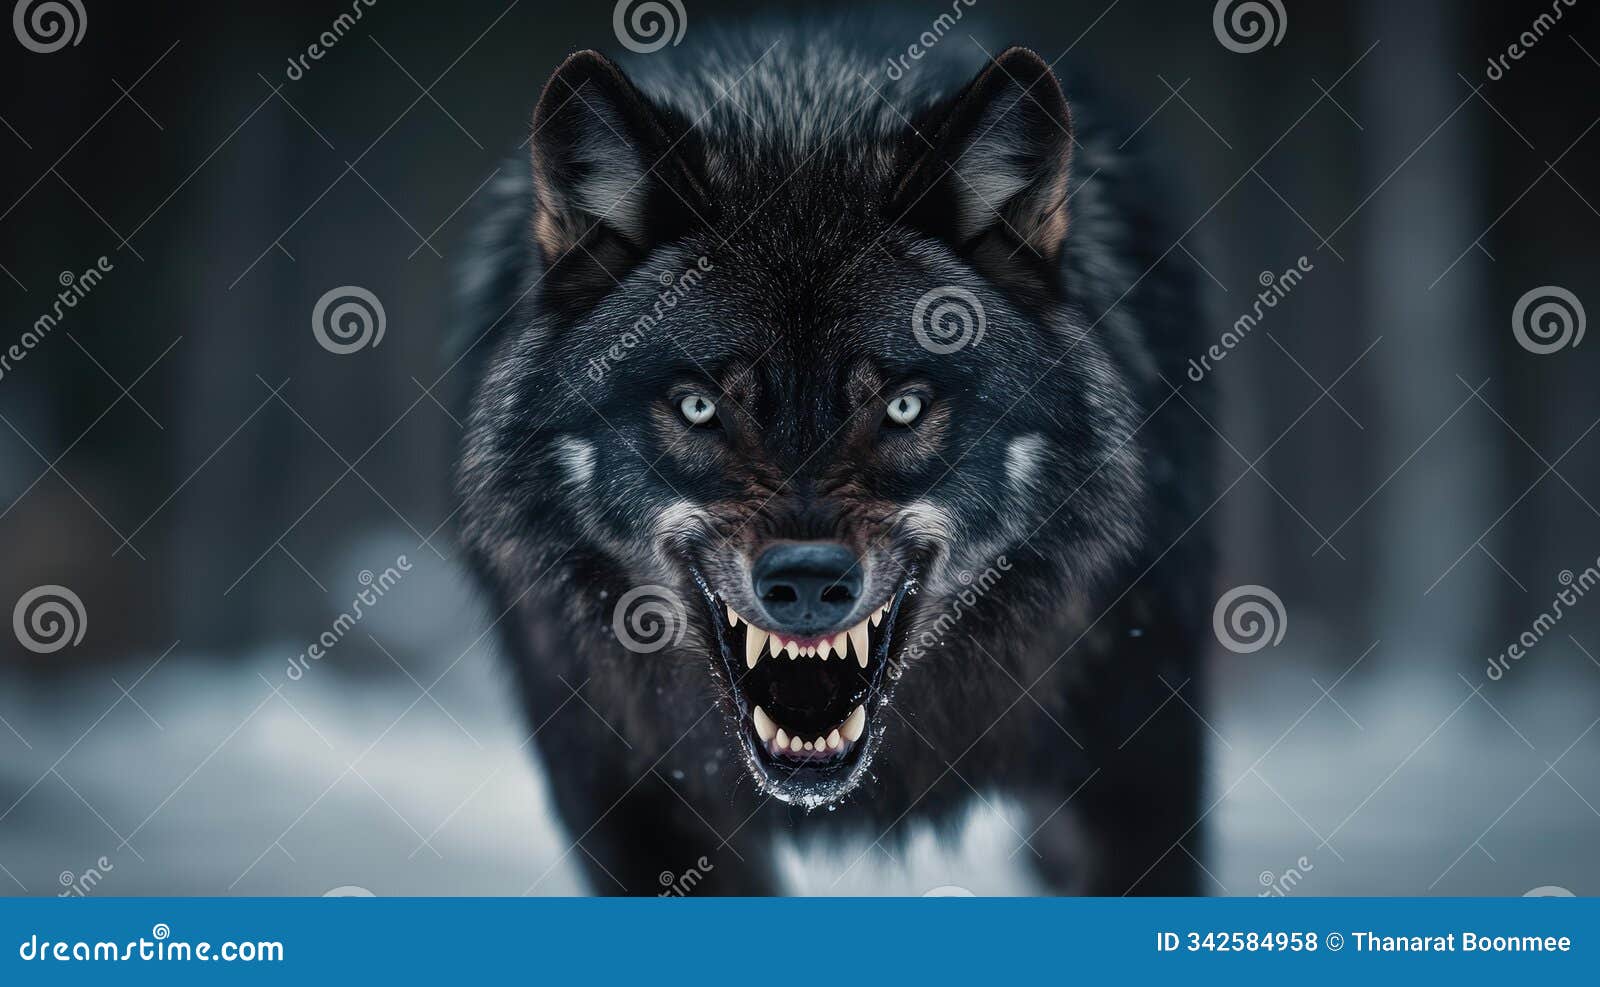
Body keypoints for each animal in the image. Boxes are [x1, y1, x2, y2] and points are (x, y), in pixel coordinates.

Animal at [454, 17, 1214, 895]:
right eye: (699, 406)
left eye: (903, 405)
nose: (809, 583)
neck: (802, 103)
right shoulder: (628, 796)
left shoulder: (1139, 766)